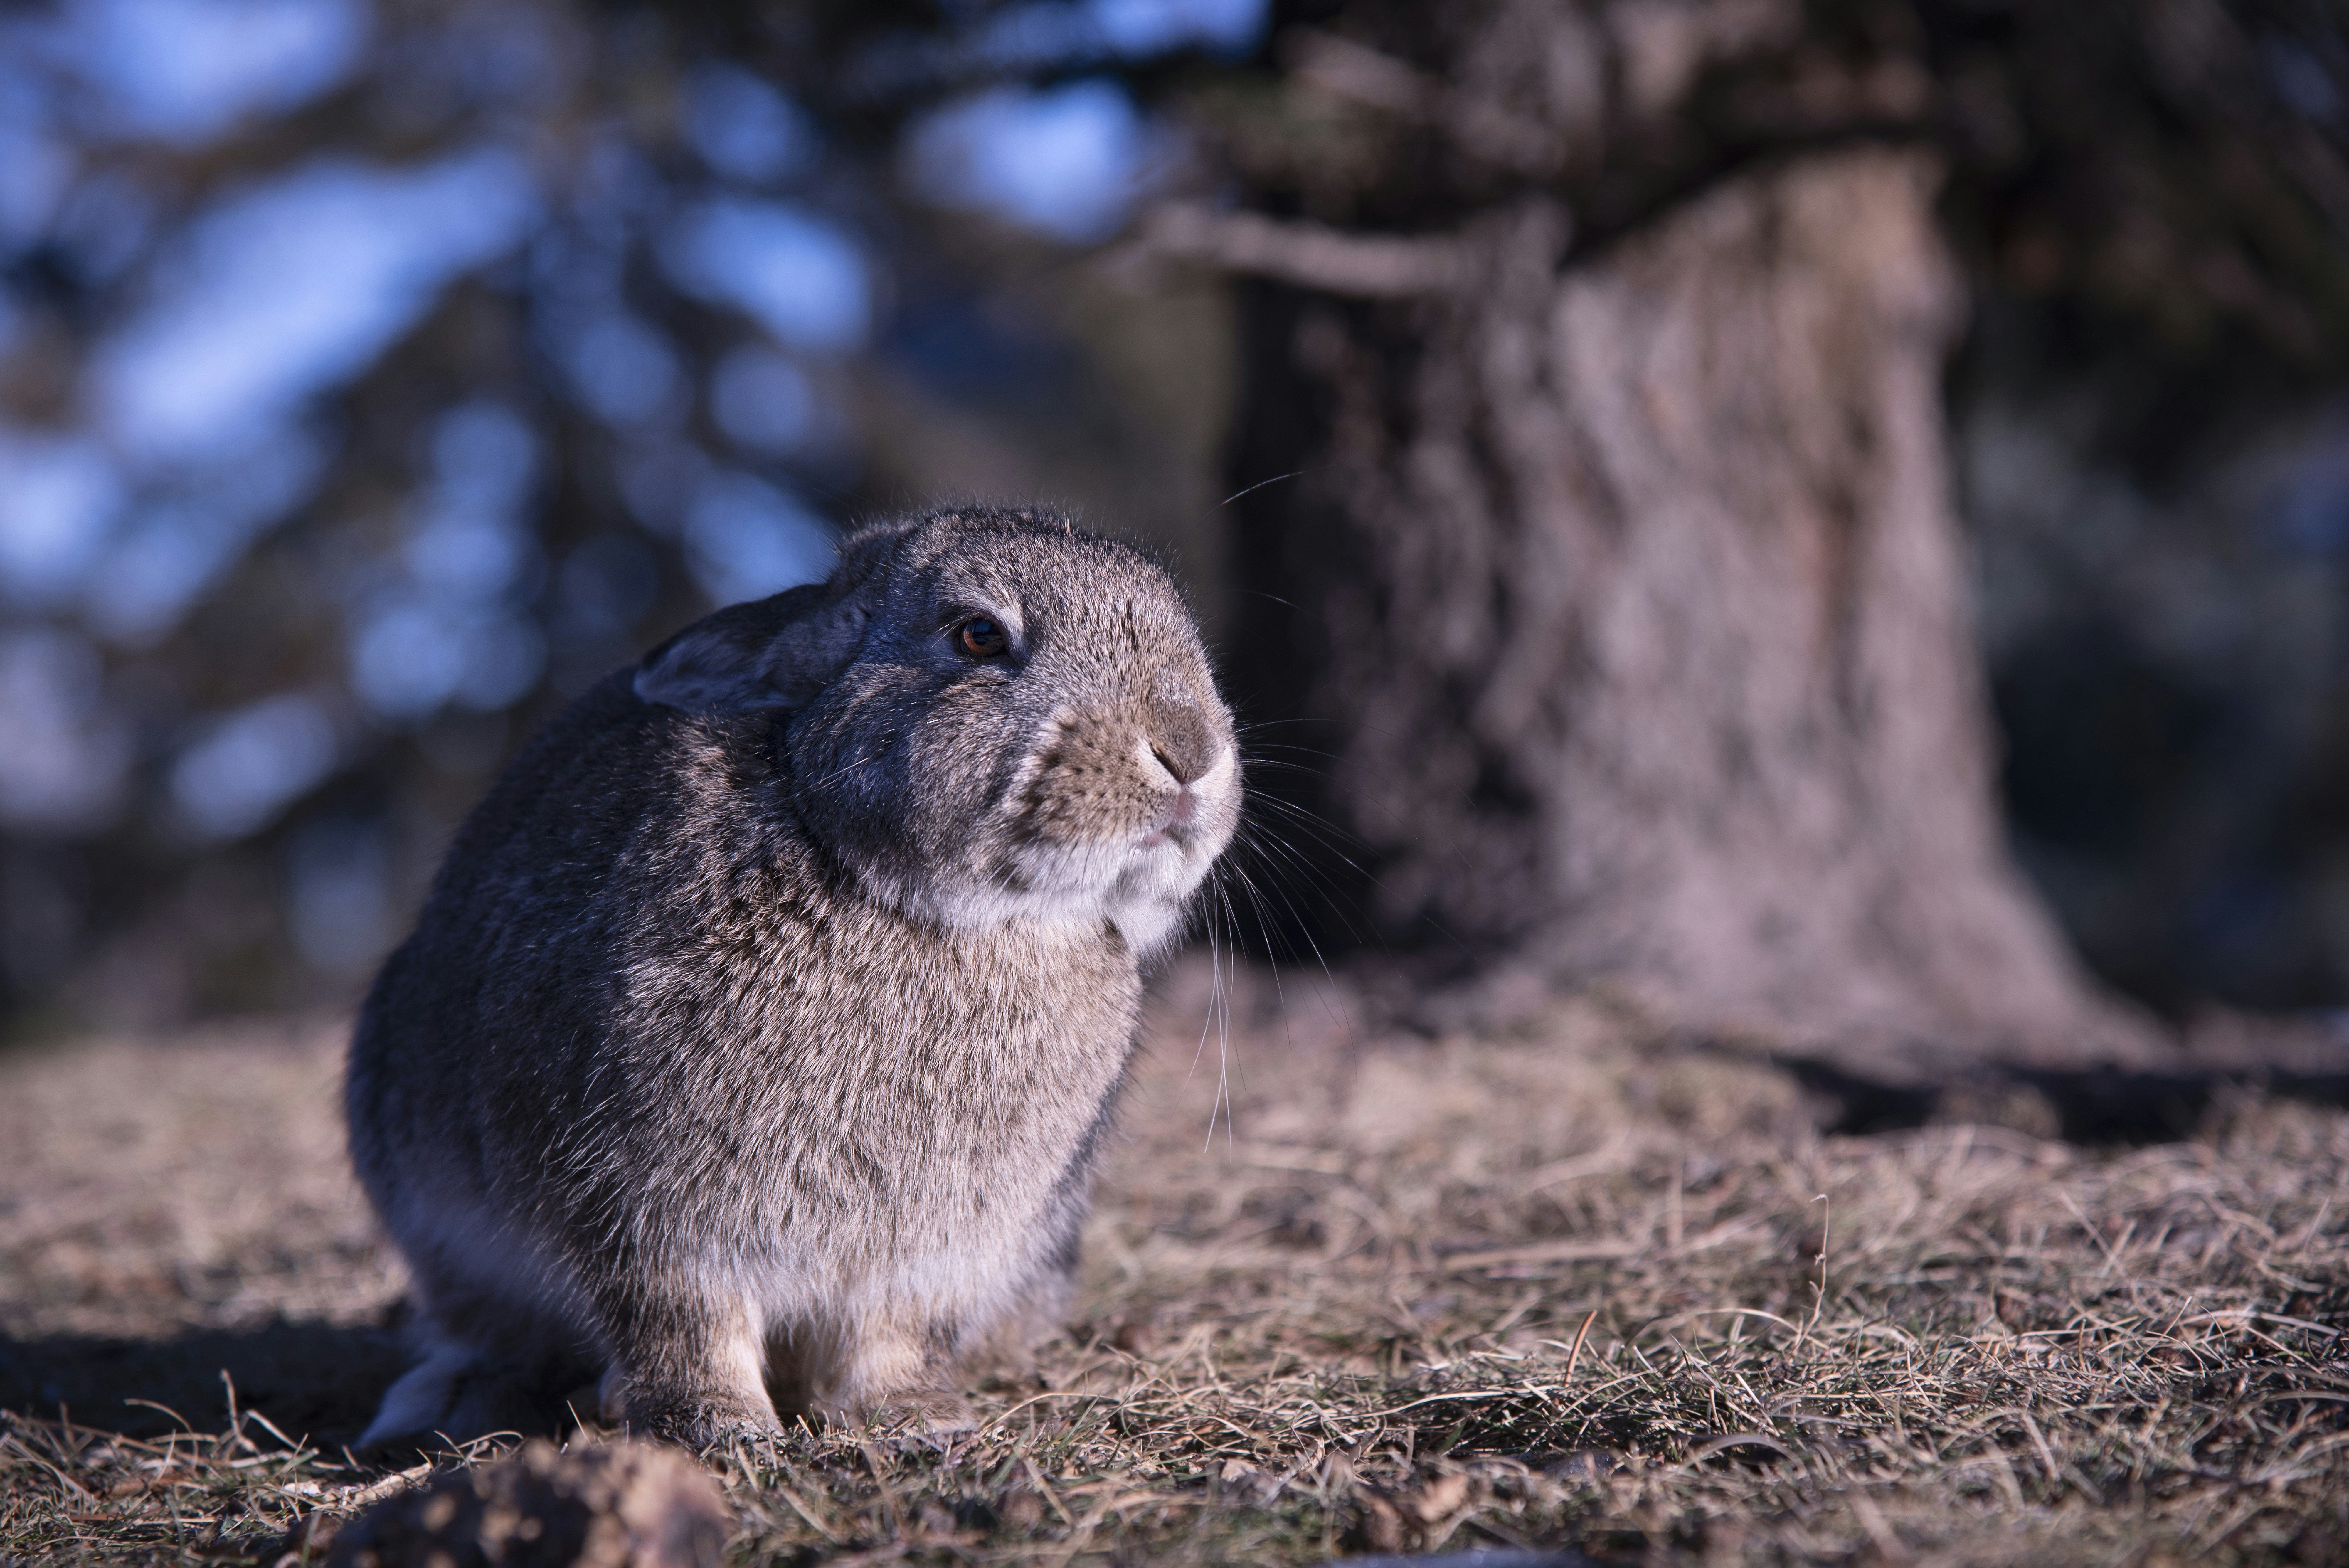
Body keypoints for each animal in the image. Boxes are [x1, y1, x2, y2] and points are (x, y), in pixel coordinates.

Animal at [346, 504, 1239, 1449]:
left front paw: (912, 1416)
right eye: (978, 635)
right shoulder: (640, 1208)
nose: (1191, 752)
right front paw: (718, 1425)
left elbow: (893, 1333)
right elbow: (682, 1321)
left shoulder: (932, 1254)